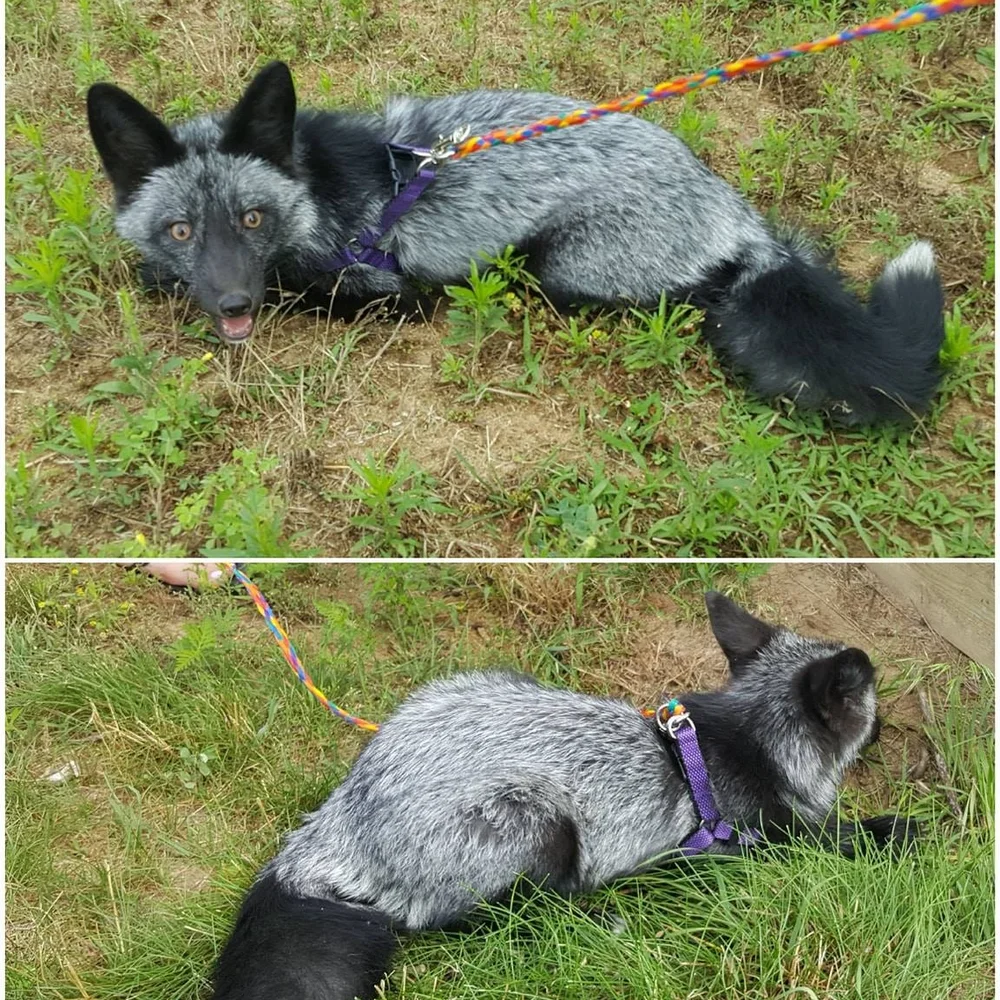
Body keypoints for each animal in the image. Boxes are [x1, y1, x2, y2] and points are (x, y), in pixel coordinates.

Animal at [87, 61, 946, 425]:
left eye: (253, 220)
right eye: (181, 228)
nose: (233, 300)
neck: (320, 193)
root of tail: (737, 215)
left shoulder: (382, 295)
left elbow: (304, 295)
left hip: (562, 270)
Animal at [210, 591, 915, 1000]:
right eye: (874, 706)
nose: (891, 726)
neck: (747, 737)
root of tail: (336, 827)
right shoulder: (753, 843)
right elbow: (830, 840)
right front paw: (897, 831)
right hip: (537, 824)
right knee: (495, 918)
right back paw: (601, 918)